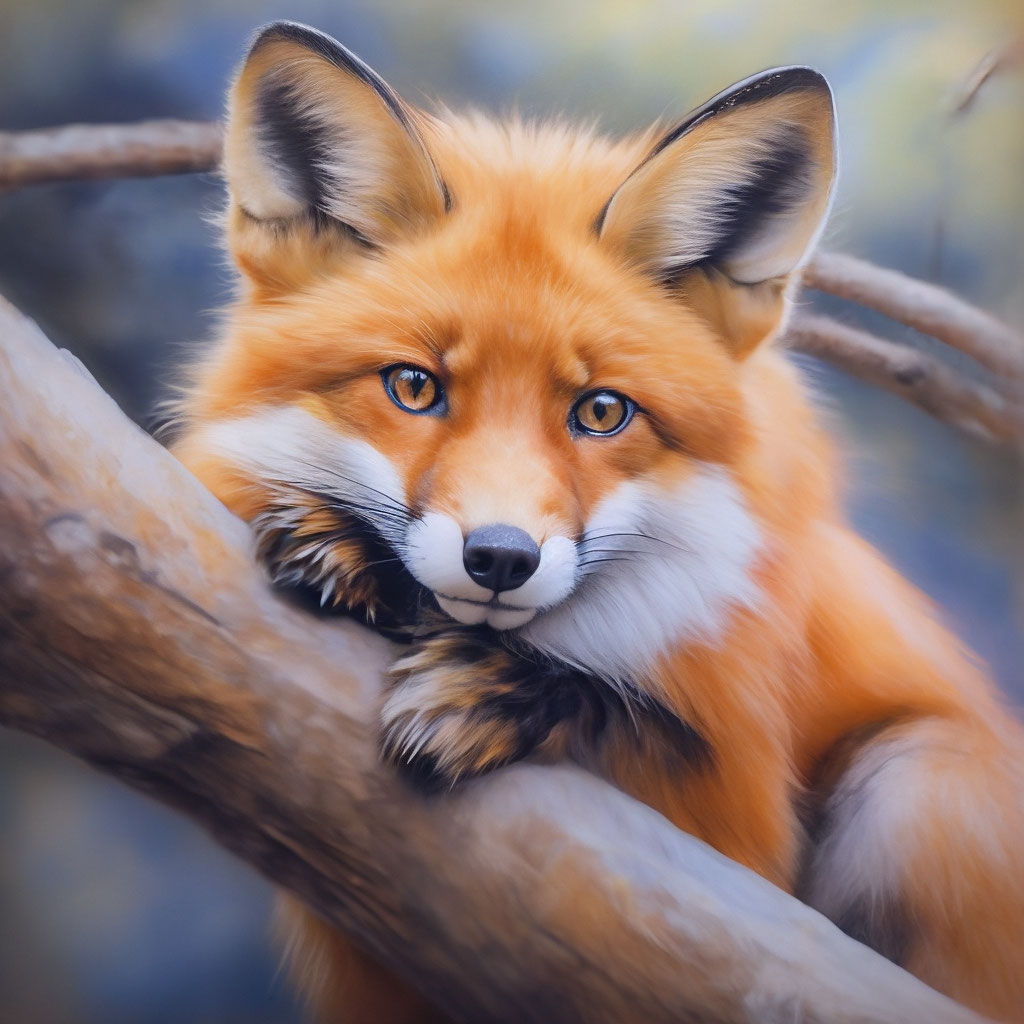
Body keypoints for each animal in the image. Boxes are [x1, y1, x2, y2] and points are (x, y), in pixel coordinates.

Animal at [170, 19, 1024, 1024]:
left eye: (602, 412)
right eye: (413, 387)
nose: (500, 558)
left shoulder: (735, 839)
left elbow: (629, 722)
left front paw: (507, 693)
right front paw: (342, 545)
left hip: (920, 785)